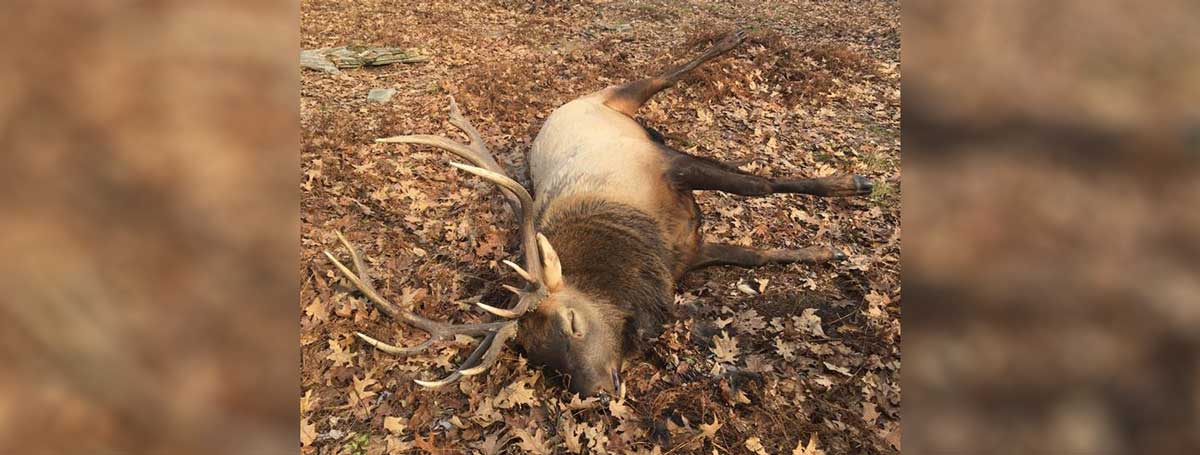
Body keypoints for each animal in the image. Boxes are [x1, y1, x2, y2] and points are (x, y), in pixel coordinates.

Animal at [323, 29, 873, 397]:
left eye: (571, 322)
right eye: (539, 359)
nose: (596, 392)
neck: (643, 242)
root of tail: (561, 107)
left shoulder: (666, 165)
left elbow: (760, 184)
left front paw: (854, 183)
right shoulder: (687, 252)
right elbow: (756, 255)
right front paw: (826, 251)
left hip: (615, 99)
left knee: (661, 75)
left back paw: (739, 35)